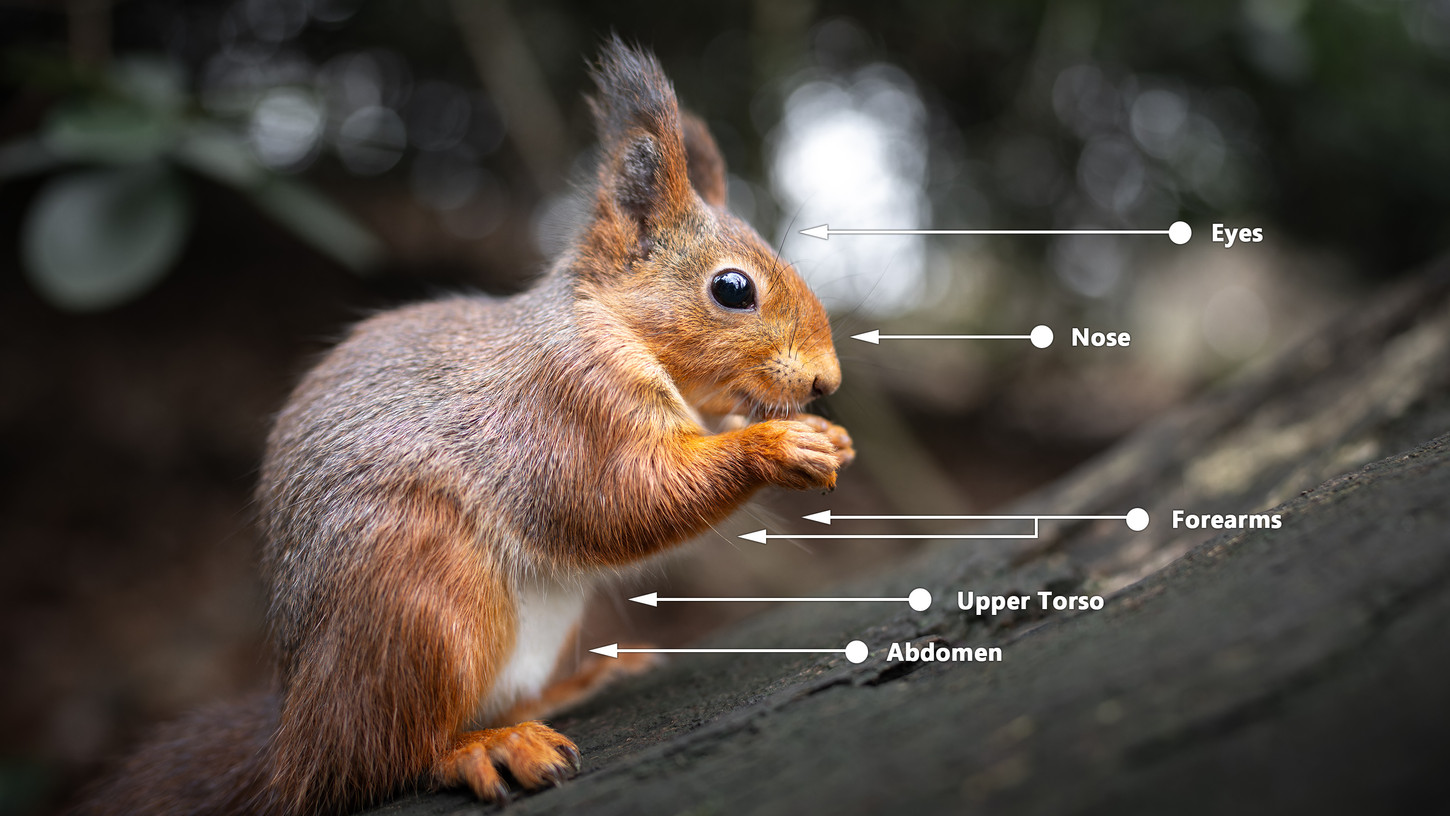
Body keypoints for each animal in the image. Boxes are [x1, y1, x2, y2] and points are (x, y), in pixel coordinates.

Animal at [75, 38, 852, 816]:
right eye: (732, 289)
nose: (827, 382)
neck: (612, 327)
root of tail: (294, 735)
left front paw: (826, 438)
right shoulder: (564, 408)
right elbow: (623, 495)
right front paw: (775, 443)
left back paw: (570, 688)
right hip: (426, 597)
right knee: (379, 759)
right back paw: (483, 748)